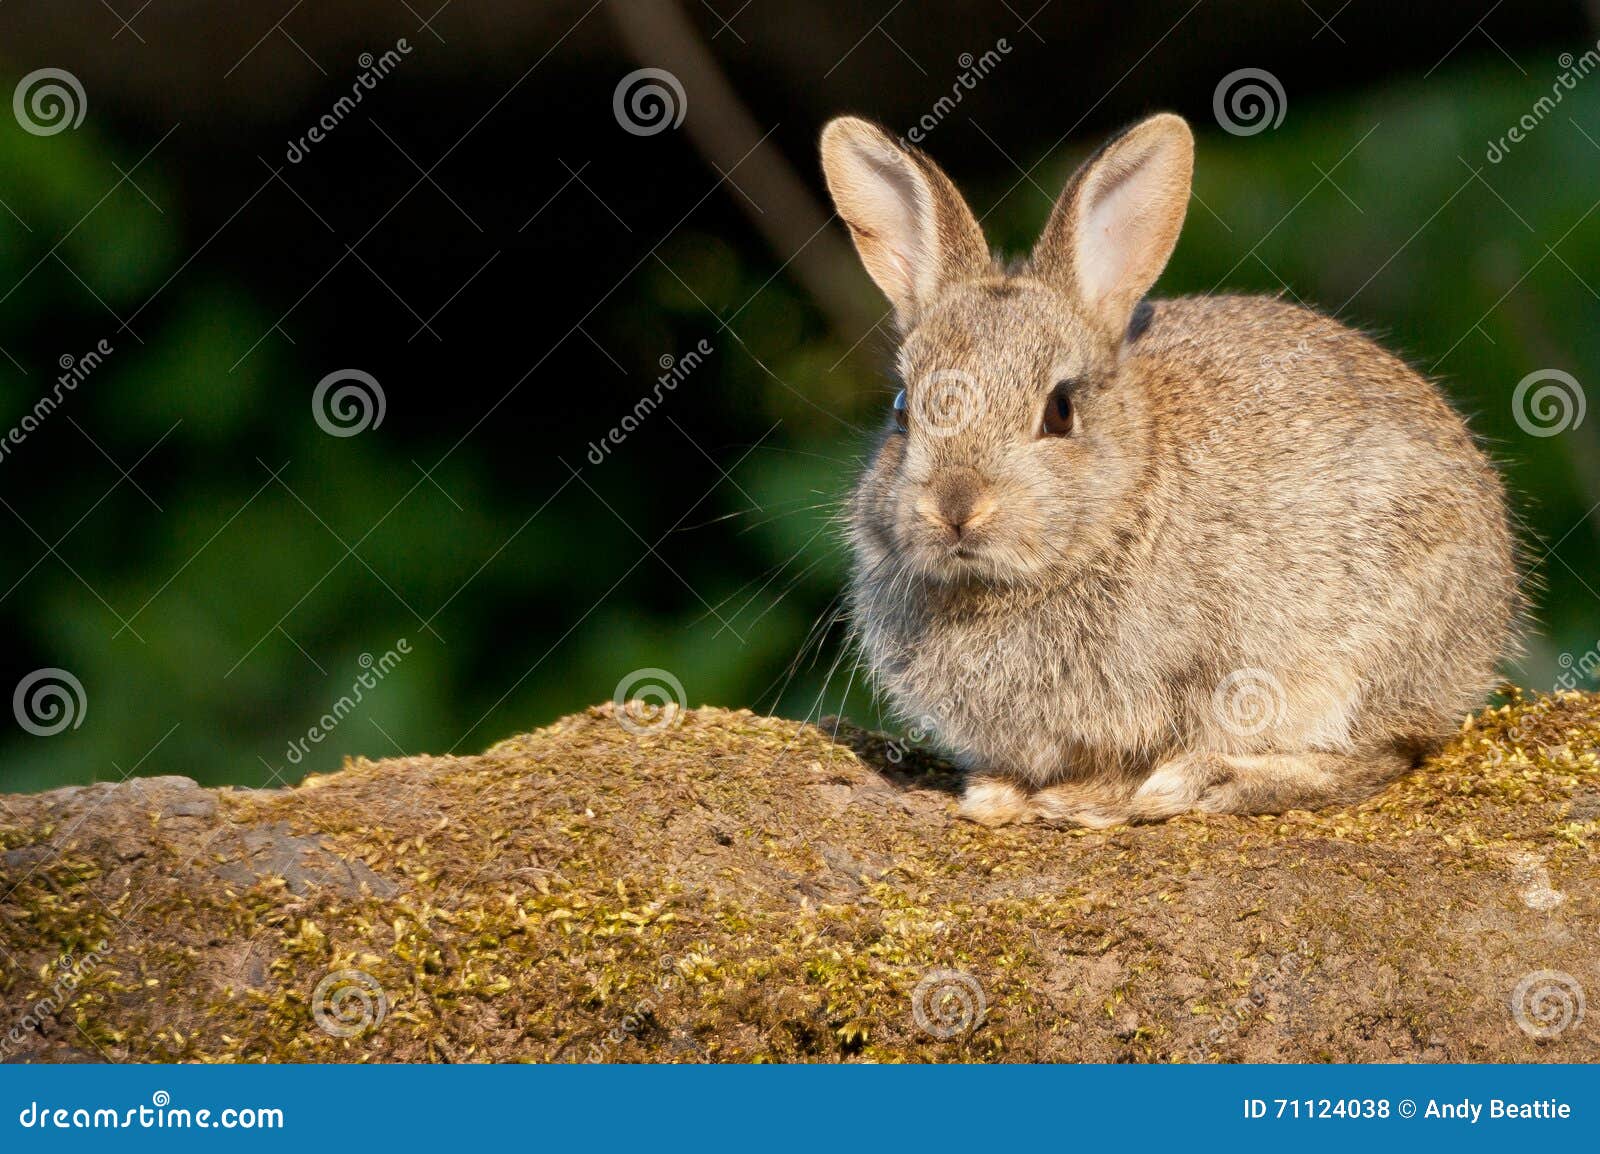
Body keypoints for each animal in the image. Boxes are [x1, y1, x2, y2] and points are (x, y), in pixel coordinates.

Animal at [817, 111, 1521, 827]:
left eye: (1060, 411)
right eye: (903, 409)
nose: (956, 509)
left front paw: (1083, 802)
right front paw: (999, 794)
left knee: (1381, 754)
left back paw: (1206, 782)